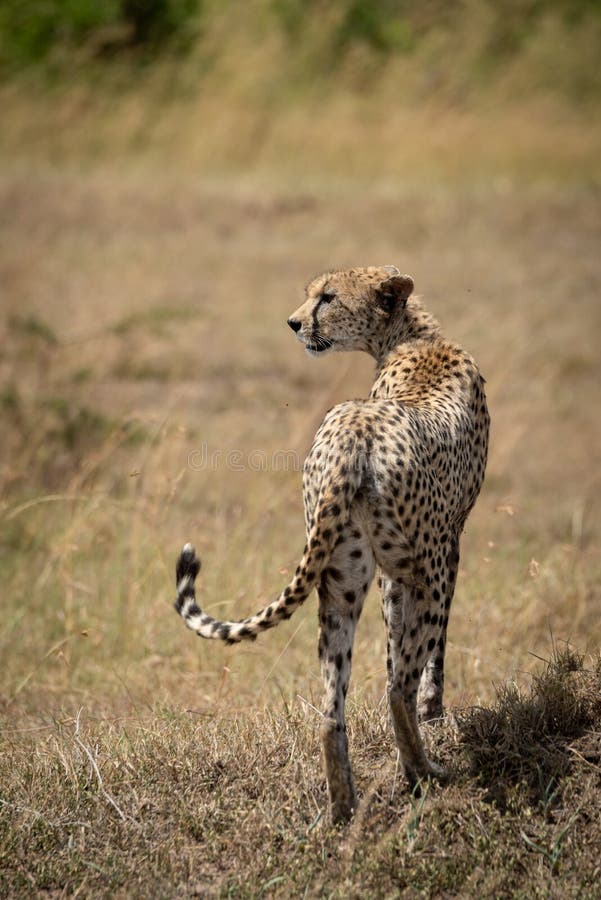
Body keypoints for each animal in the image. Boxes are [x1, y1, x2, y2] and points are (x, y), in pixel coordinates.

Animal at [174, 265, 489, 824]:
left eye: (328, 297)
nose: (293, 322)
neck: (412, 336)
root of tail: (351, 435)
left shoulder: (389, 574)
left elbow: (390, 642)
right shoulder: (446, 547)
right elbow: (427, 654)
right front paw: (436, 713)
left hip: (339, 578)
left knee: (329, 711)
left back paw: (344, 808)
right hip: (425, 570)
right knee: (396, 688)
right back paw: (424, 773)